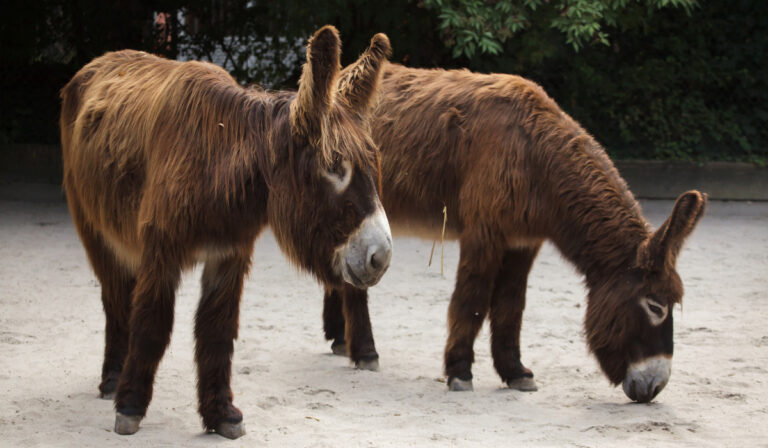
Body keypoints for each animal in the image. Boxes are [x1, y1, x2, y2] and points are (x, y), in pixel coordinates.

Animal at [59, 26, 393, 438]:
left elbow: (217, 331)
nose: (382, 258)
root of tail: (99, 61)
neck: (215, 158)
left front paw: (221, 415)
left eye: (374, 166)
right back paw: (112, 380)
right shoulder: (161, 251)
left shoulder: (229, 254)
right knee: (116, 299)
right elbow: (152, 324)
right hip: (93, 228)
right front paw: (131, 407)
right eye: (334, 167)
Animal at [322, 62, 706, 403]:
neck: (536, 157)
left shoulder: (523, 241)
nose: (655, 388)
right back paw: (364, 352)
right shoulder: (484, 233)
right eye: (655, 306)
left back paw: (339, 337)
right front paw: (459, 370)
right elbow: (472, 301)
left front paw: (515, 371)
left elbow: (511, 306)